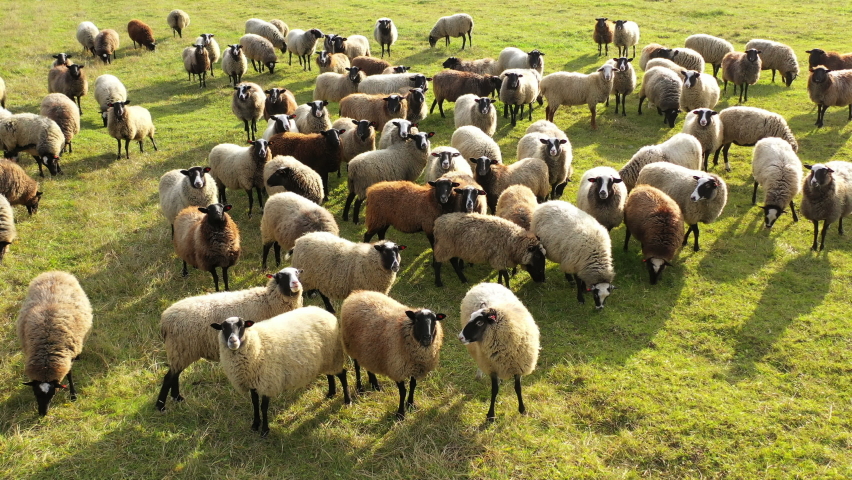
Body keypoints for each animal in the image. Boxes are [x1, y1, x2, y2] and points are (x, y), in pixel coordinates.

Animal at [17, 271, 92, 416]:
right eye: (35, 393)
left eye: (53, 394)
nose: (42, 413)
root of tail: (54, 272)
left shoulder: (68, 354)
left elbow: (69, 374)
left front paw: (73, 395)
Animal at [156, 268, 304, 411]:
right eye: (281, 276)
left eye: (297, 273)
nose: (295, 283)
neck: (267, 301)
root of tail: (164, 320)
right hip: (181, 348)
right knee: (169, 377)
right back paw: (161, 406)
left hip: (180, 351)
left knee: (175, 375)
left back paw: (177, 398)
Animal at [211, 311, 349, 437]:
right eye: (223, 327)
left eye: (242, 325)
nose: (233, 341)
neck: (257, 343)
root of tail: (326, 312)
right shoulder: (253, 383)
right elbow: (255, 404)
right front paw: (255, 424)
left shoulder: (267, 382)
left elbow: (263, 407)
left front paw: (265, 430)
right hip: (326, 359)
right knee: (329, 374)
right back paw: (331, 393)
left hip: (333, 354)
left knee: (342, 374)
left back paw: (347, 401)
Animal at [458, 282, 539, 421]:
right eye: (471, 318)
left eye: (480, 322)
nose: (460, 337)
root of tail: (485, 283)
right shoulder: (492, 368)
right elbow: (494, 390)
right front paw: (491, 415)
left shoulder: (518, 367)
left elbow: (518, 388)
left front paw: (522, 410)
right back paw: (479, 375)